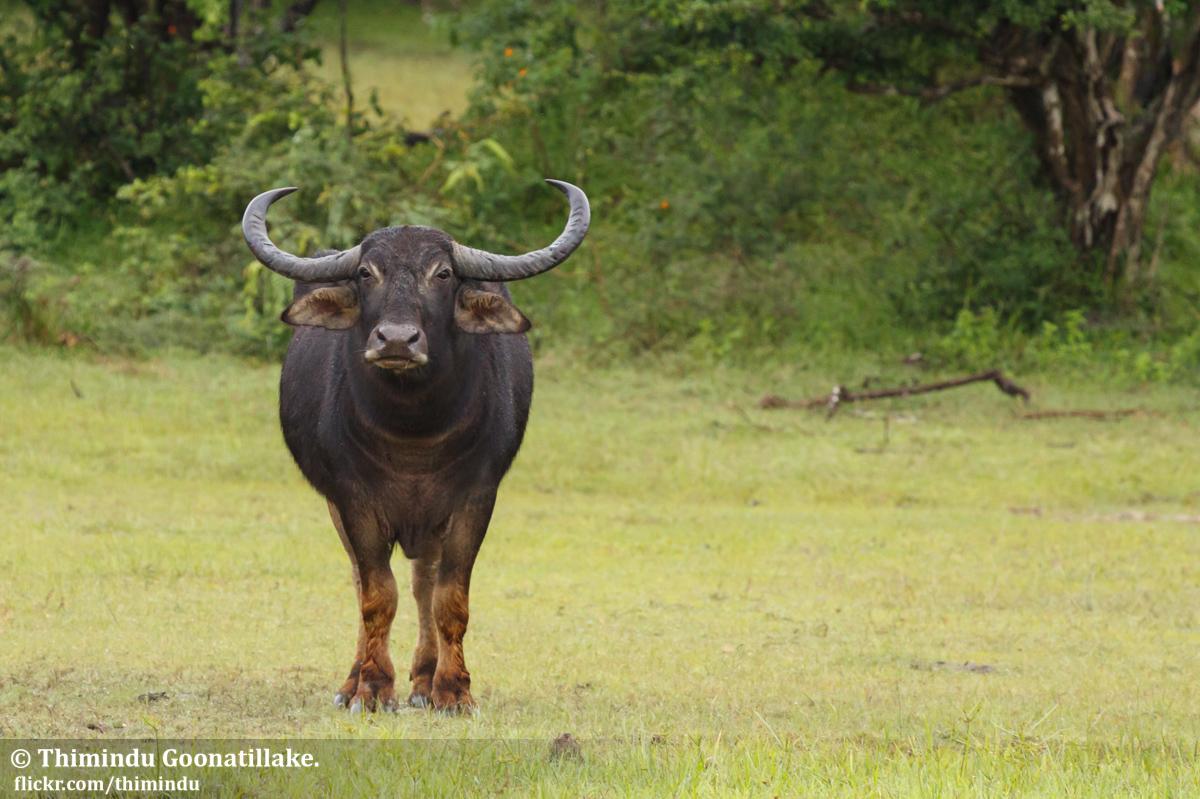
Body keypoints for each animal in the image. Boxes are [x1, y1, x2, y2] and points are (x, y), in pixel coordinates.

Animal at [241, 180, 589, 712]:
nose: (396, 341)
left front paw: (453, 691)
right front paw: (371, 688)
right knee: (363, 579)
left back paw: (425, 680)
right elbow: (376, 595)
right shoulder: (353, 499)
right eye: (366, 272)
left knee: (425, 582)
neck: (414, 432)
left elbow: (450, 598)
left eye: (442, 273)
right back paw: (353, 681)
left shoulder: (475, 499)